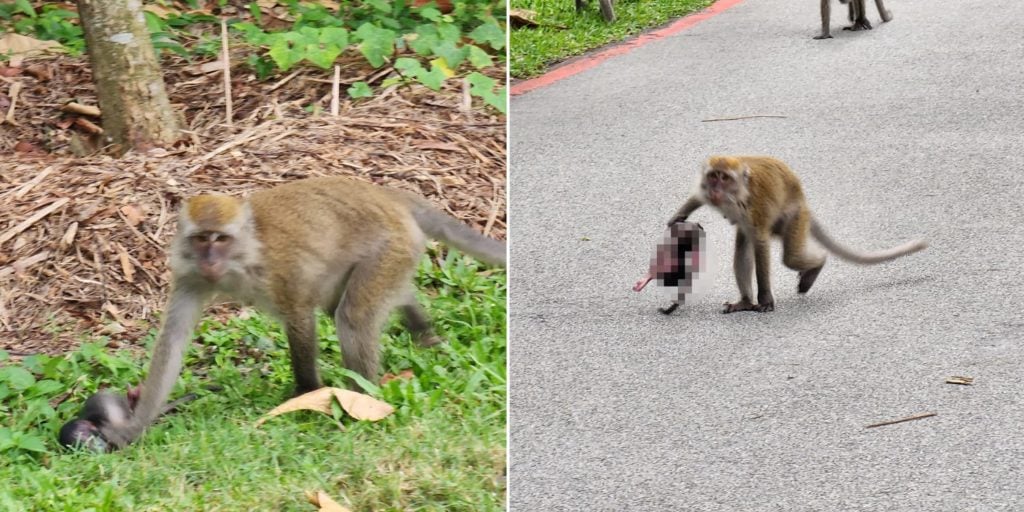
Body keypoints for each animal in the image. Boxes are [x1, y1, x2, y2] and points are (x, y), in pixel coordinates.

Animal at [102, 176, 505, 449]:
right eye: (202, 239)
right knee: (348, 304)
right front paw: (135, 427)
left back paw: (362, 398)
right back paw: (420, 326)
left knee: (352, 315)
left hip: (392, 244)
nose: (210, 260)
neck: (243, 255)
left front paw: (306, 393)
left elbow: (299, 318)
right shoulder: (189, 276)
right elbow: (172, 342)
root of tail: (388, 195)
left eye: (221, 239)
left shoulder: (278, 271)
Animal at [667, 156, 927, 314]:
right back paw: (745, 302)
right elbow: (696, 198)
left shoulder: (754, 207)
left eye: (725, 178)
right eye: (713, 176)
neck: (736, 194)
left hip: (794, 218)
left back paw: (817, 265)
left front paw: (766, 299)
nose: (715, 189)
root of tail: (803, 200)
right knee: (743, 247)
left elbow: (761, 244)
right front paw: (678, 215)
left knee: (790, 257)